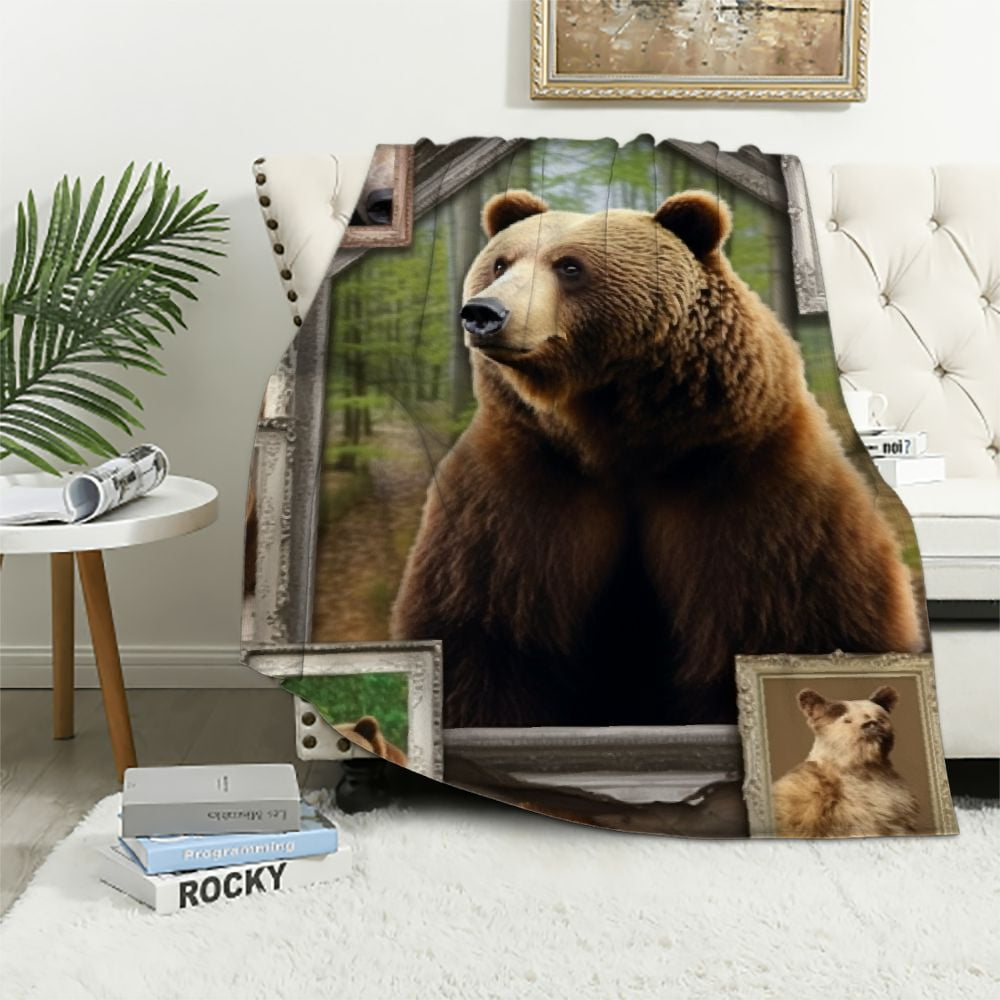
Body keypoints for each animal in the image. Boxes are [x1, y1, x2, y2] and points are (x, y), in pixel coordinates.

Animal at [391, 188, 923, 728]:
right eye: (500, 262)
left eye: (569, 265)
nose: (484, 312)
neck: (620, 437)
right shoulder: (520, 490)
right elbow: (485, 636)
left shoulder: (754, 492)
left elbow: (795, 618)